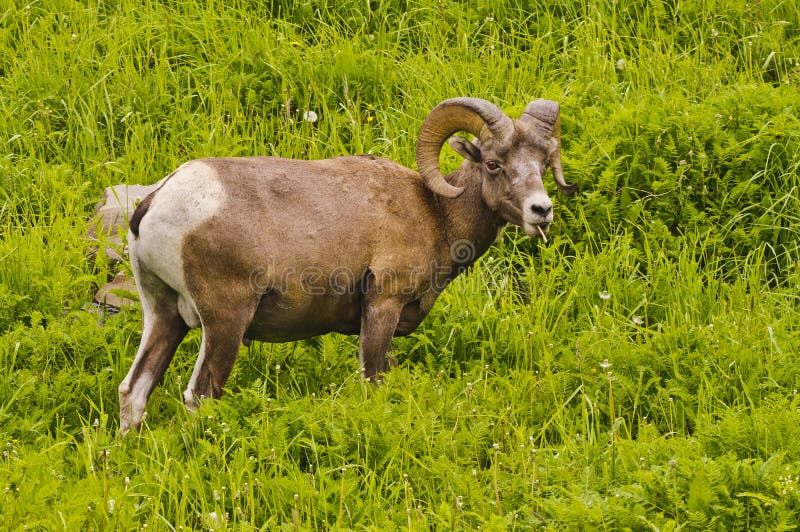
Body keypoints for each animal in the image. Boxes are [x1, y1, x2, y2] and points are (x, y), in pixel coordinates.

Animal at [118, 97, 576, 432]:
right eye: (494, 165)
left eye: (540, 165)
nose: (541, 211)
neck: (436, 214)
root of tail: (155, 203)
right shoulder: (382, 308)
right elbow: (373, 381)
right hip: (224, 321)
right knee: (199, 397)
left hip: (163, 316)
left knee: (134, 392)